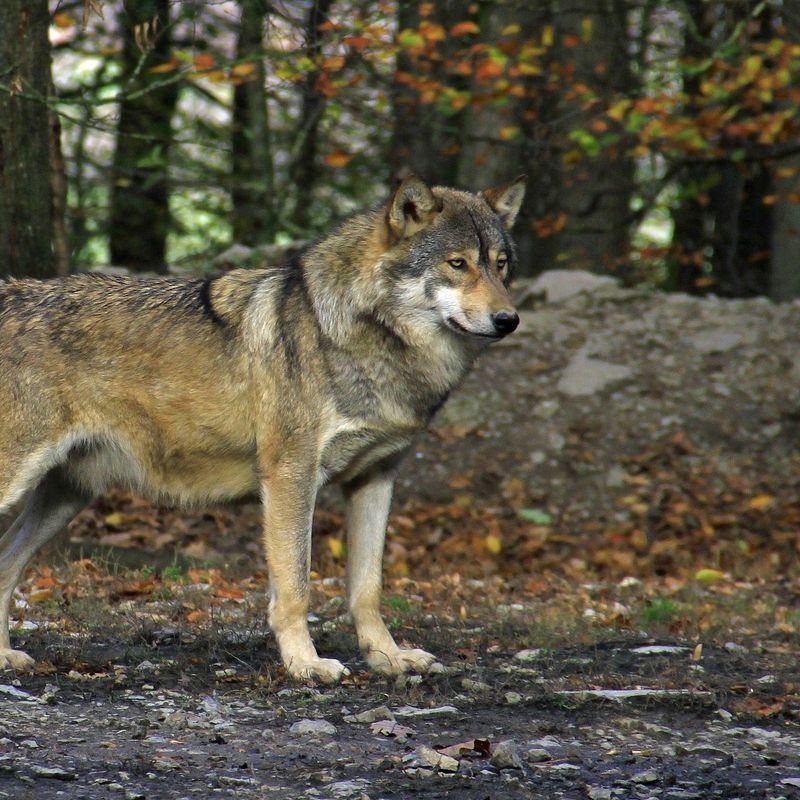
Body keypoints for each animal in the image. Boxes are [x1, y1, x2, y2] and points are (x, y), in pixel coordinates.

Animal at [0, 174, 525, 682]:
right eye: (457, 264)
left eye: (501, 265)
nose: (509, 320)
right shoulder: (291, 477)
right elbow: (295, 588)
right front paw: (305, 664)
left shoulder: (375, 480)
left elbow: (368, 590)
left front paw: (387, 658)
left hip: (67, 497)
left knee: (5, 561)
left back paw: (5, 656)